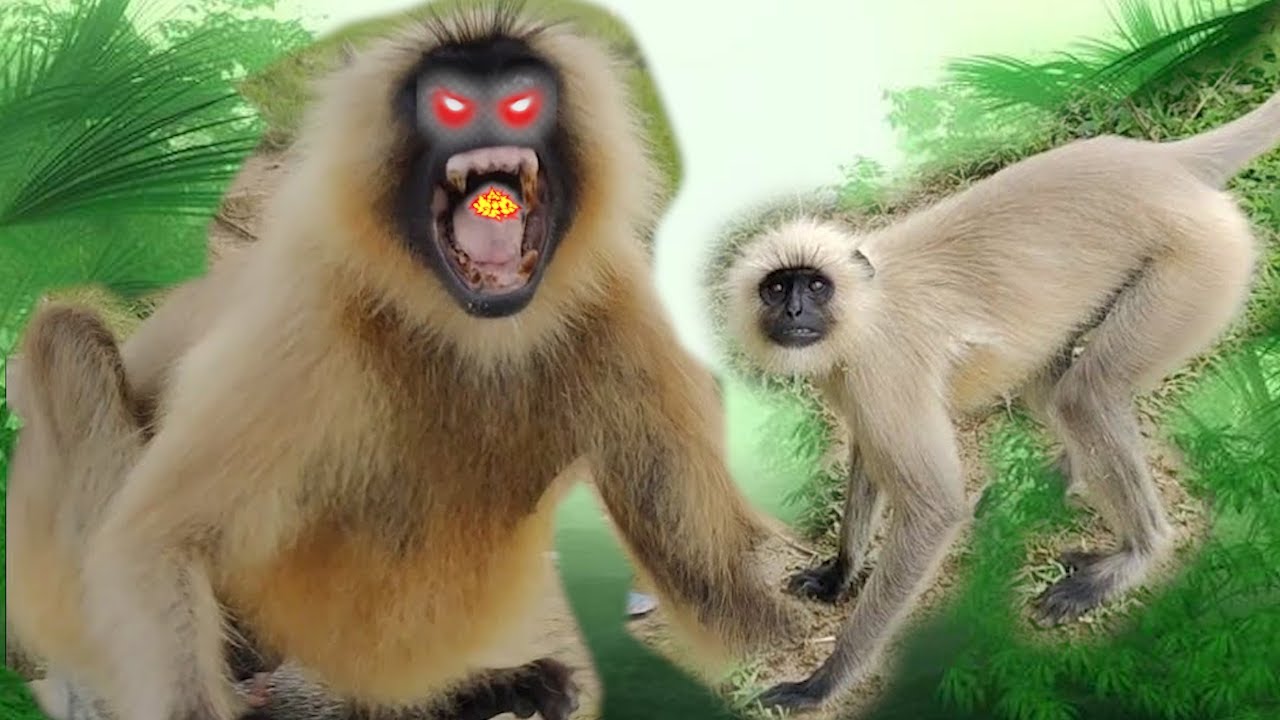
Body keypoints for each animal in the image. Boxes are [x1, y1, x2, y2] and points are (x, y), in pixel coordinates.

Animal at [3, 5, 798, 720]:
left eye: (520, 101)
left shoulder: (615, 295)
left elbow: (711, 584)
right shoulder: (311, 321)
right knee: (66, 338)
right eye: (451, 104)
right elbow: (156, 545)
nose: (489, 123)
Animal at [715, 88, 1280, 711]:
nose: (794, 311)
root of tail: (1166, 162)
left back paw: (1135, 556)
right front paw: (840, 575)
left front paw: (822, 682)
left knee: (1086, 395)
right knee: (1054, 388)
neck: (867, 304)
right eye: (777, 288)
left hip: (1199, 267)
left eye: (815, 286)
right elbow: (868, 457)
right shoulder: (854, 380)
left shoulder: (881, 368)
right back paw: (1061, 479)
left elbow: (935, 509)